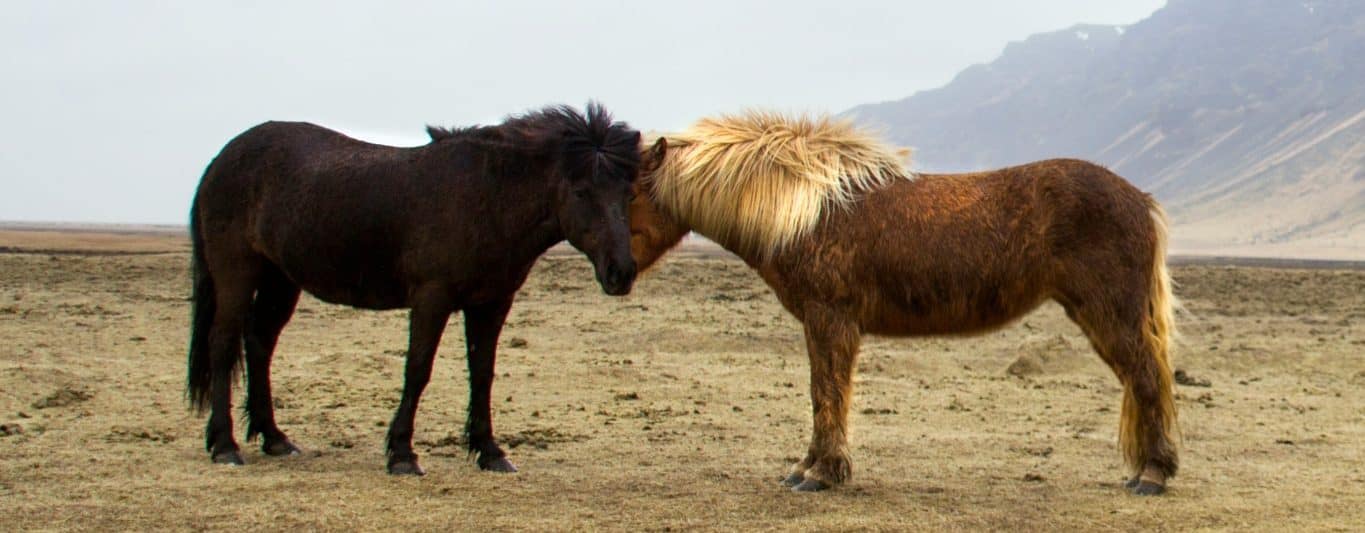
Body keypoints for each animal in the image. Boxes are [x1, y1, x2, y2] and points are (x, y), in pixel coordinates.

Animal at [187, 103, 643, 476]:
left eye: (628, 192)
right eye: (582, 191)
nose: (620, 272)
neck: (486, 197)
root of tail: (221, 159)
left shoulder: (491, 304)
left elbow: (483, 373)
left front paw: (490, 451)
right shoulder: (431, 299)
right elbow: (418, 369)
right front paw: (402, 454)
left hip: (281, 280)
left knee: (259, 343)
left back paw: (274, 438)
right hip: (236, 274)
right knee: (223, 345)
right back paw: (225, 445)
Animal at [628, 111, 1179, 495]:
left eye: (630, 194)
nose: (616, 275)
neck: (809, 211)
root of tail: (1141, 200)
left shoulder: (830, 320)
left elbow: (826, 392)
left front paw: (822, 473)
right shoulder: (822, 324)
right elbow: (821, 394)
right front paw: (807, 466)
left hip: (1110, 314)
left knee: (1147, 378)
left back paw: (1153, 475)